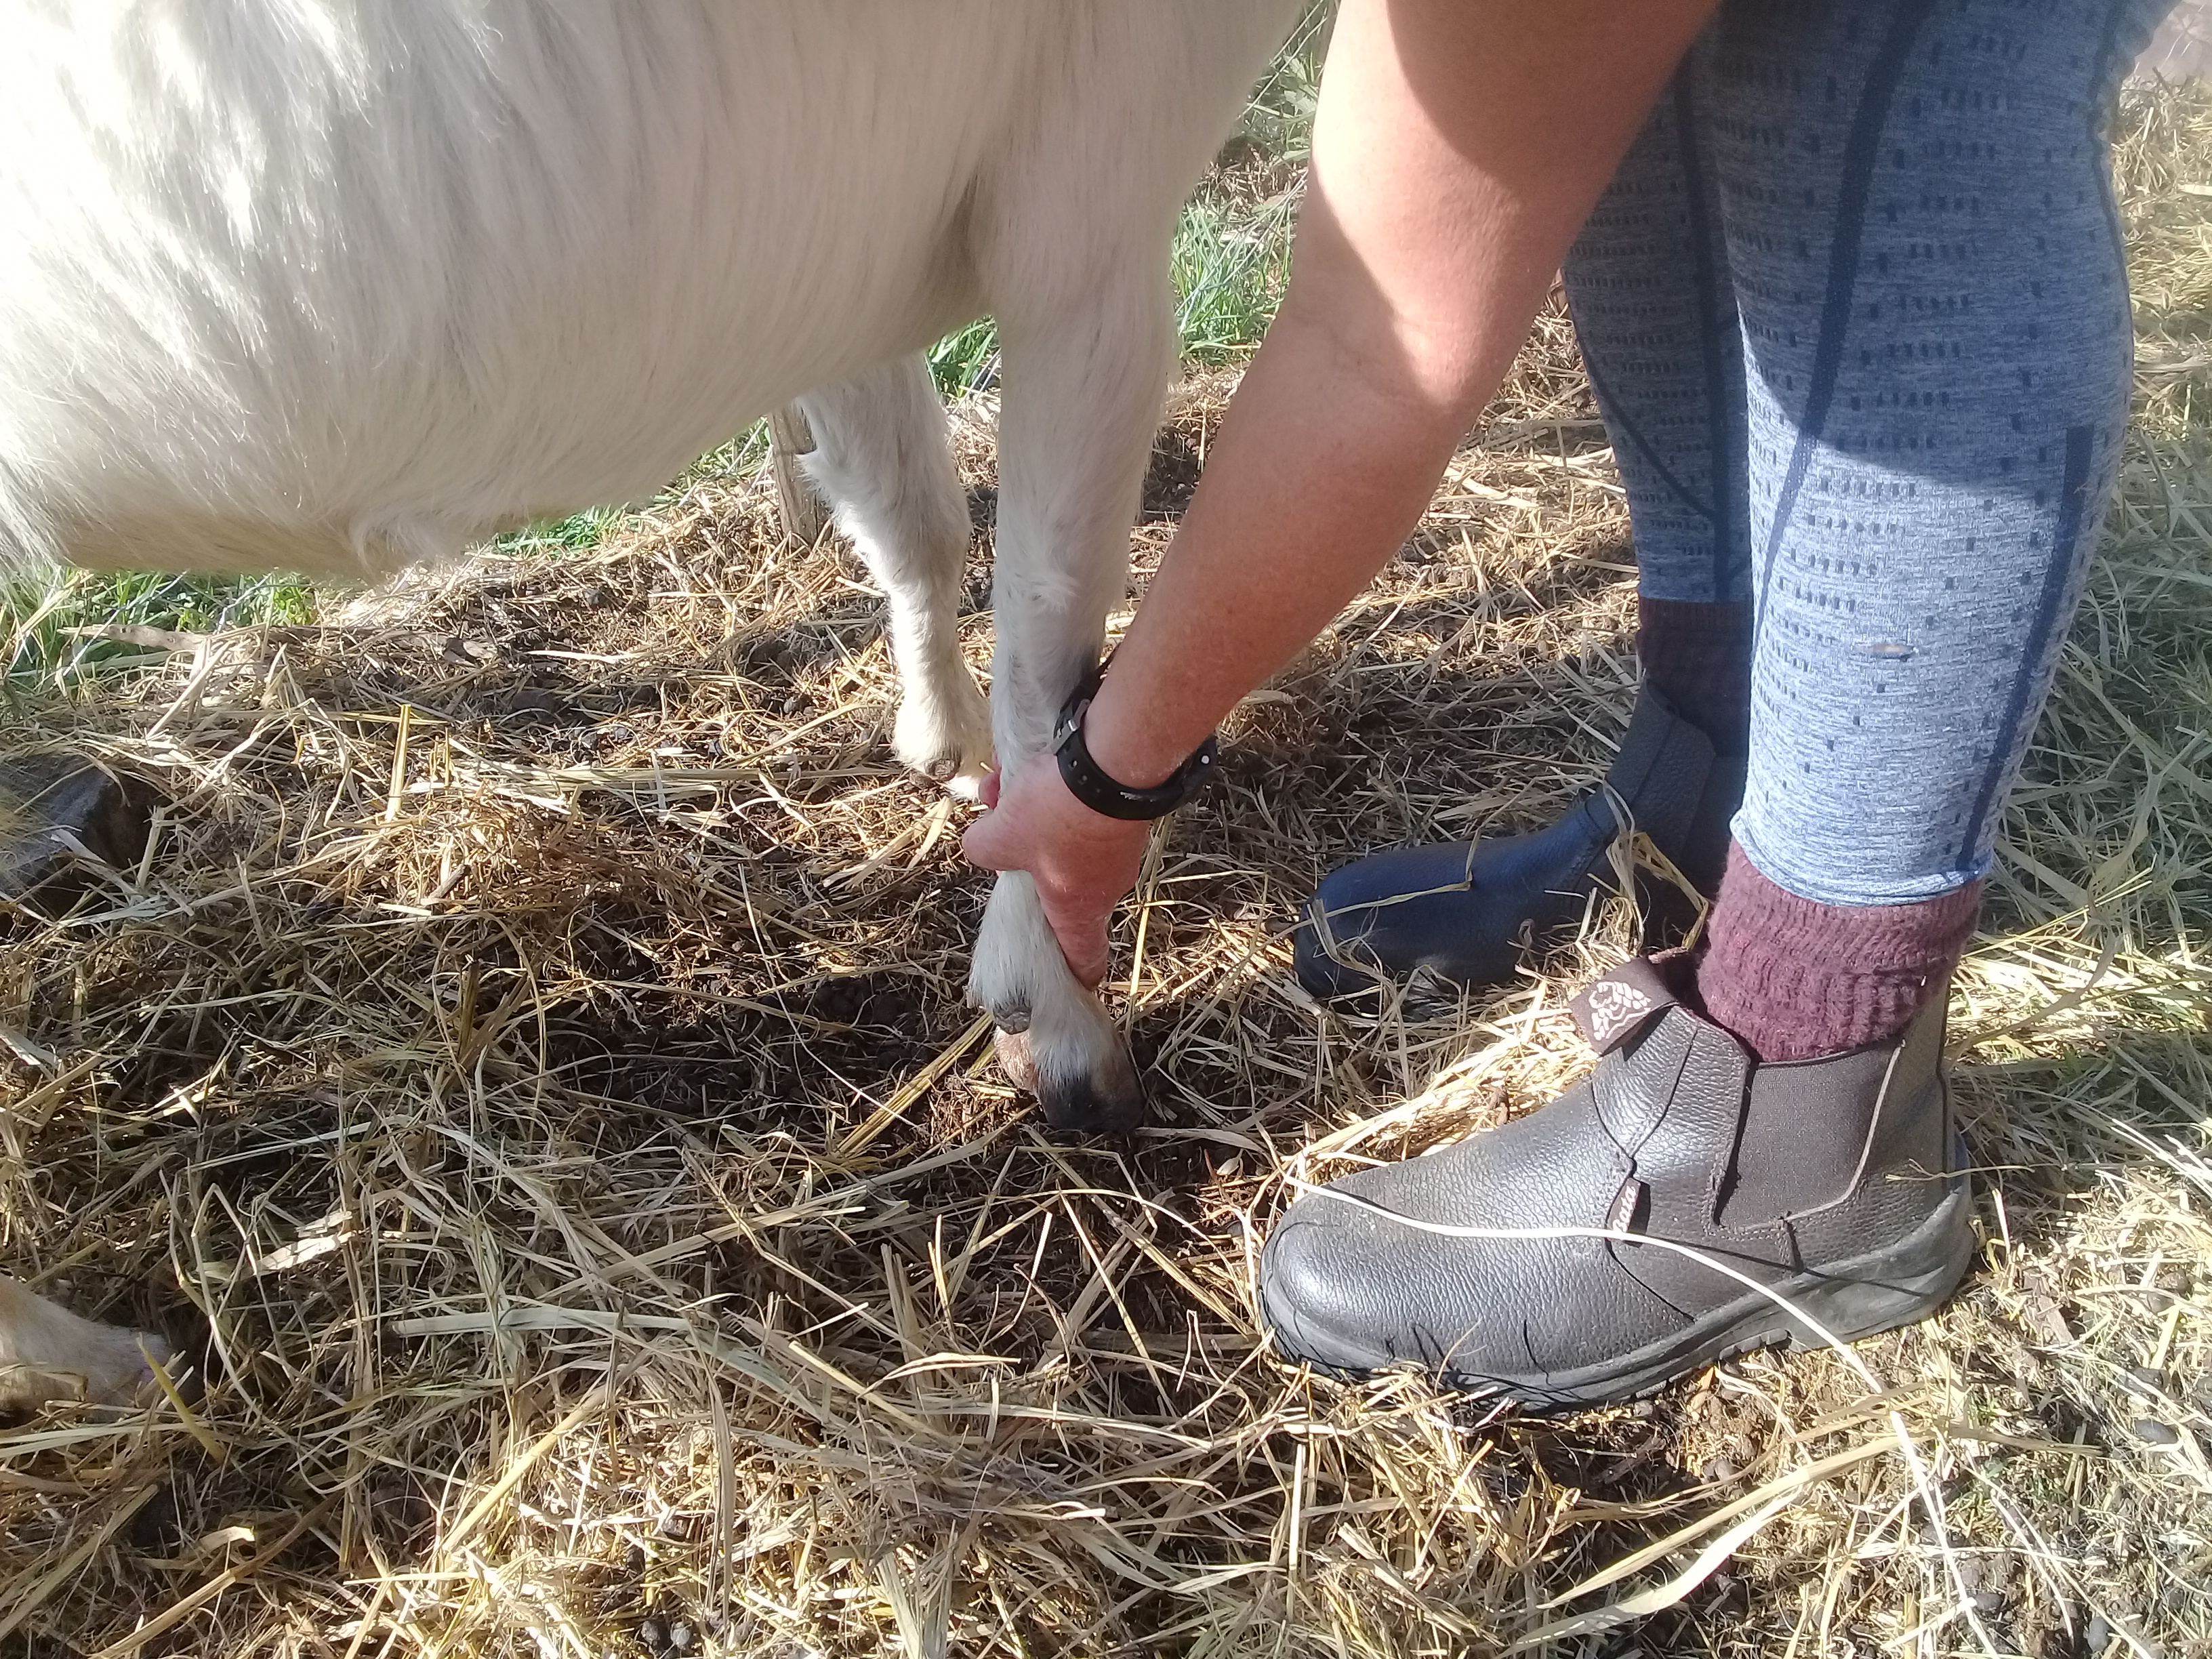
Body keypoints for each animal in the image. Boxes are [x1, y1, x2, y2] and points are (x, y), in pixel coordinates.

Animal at [0, 0, 1299, 1406]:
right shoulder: (1087, 203)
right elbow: (1050, 628)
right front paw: (1055, 1016)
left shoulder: (856, 258)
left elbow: (911, 502)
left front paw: (939, 742)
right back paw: (108, 1364)